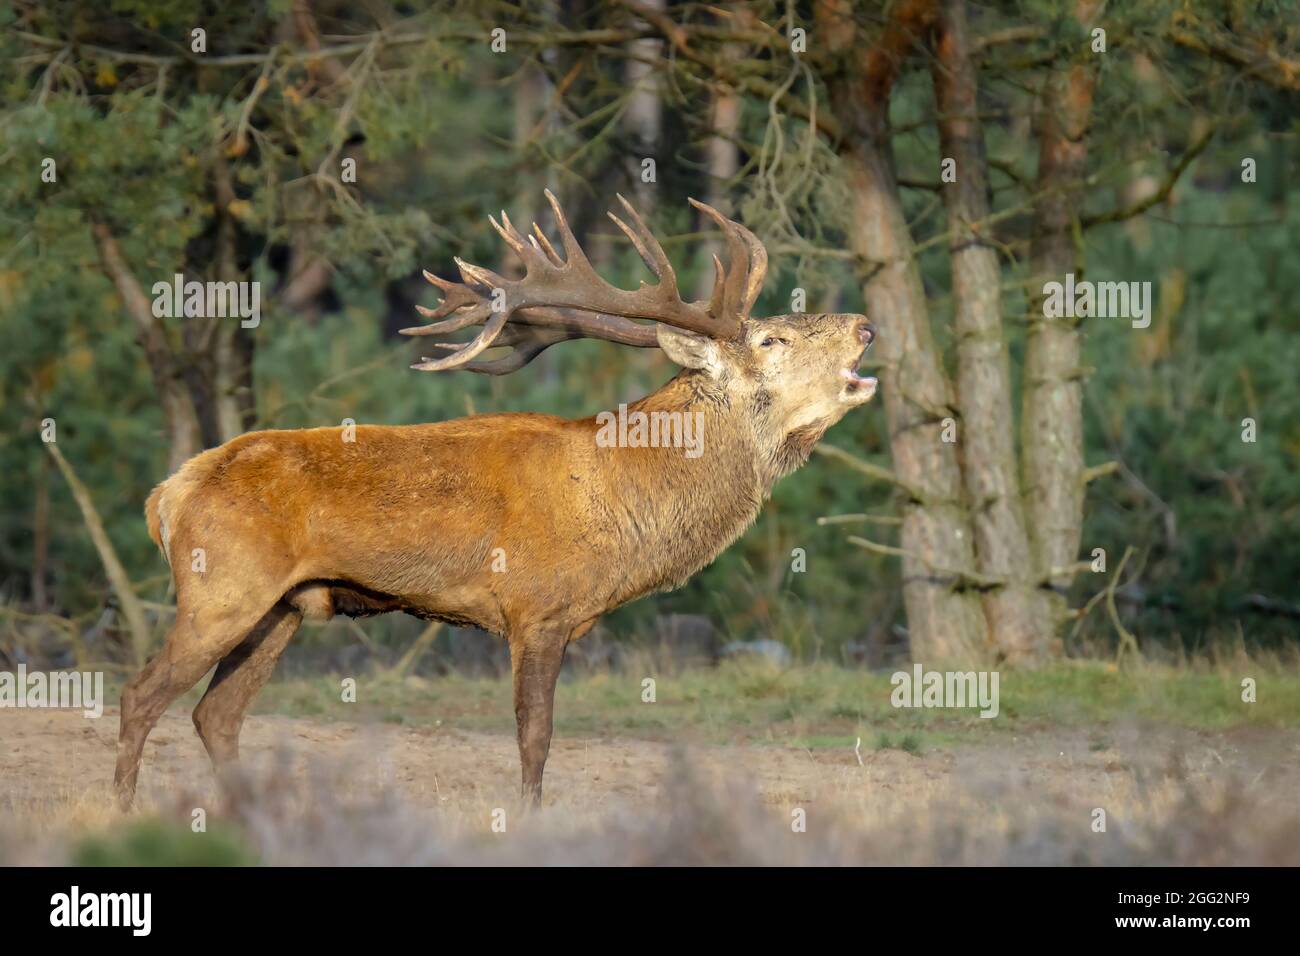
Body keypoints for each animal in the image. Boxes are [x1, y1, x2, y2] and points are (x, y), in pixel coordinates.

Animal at [115, 192, 877, 808]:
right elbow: (534, 739)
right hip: (222, 587)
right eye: (773, 337)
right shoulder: (535, 607)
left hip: (283, 607)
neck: (623, 497)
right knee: (140, 694)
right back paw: (121, 809)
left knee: (216, 714)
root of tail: (166, 493)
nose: (866, 325)